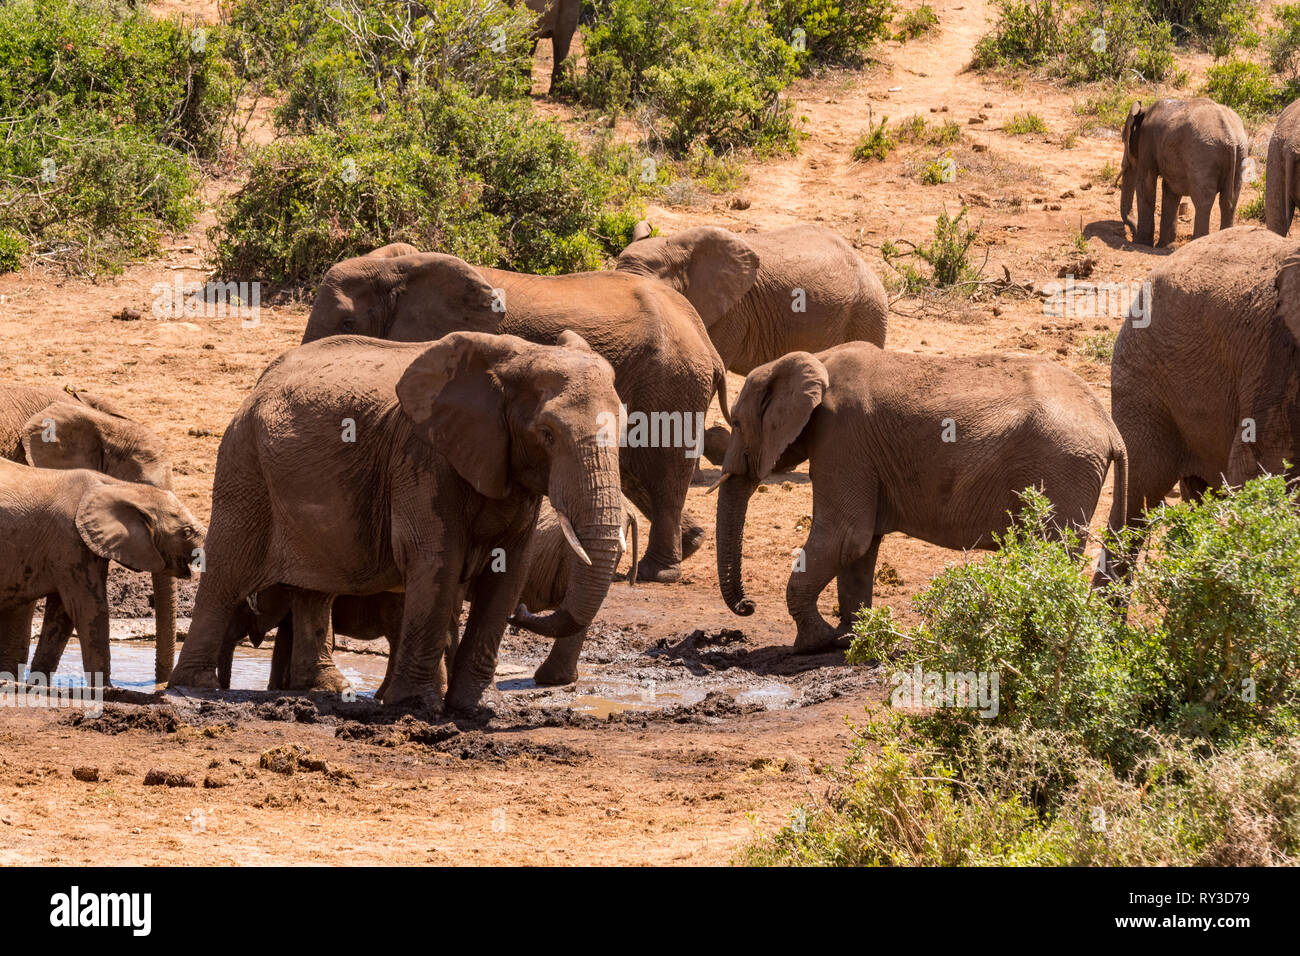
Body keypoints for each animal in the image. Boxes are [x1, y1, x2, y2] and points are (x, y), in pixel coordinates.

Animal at [0, 459, 203, 685]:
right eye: (186, 532)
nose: (160, 685)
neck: (118, 486)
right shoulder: (72, 542)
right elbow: (90, 609)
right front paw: (106, 688)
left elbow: (62, 615)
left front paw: (37, 685)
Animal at [300, 247, 727, 584]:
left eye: (347, 322)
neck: (397, 265)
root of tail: (706, 340)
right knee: (636, 467)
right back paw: (691, 542)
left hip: (671, 380)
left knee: (662, 468)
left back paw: (660, 571)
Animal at [713, 344, 1127, 653]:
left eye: (737, 423)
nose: (748, 606)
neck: (816, 359)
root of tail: (1110, 428)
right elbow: (860, 547)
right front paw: (850, 640)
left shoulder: (842, 438)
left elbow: (844, 537)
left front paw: (812, 644)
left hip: (1061, 469)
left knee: (1046, 554)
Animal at [1120, 97, 1248, 247]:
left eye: (1123, 139)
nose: (1132, 234)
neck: (1144, 110)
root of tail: (1230, 136)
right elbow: (1171, 189)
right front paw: (1166, 246)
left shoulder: (1147, 142)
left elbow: (1145, 183)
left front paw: (1142, 243)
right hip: (1240, 155)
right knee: (1230, 200)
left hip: (1202, 155)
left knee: (1203, 201)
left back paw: (1198, 242)